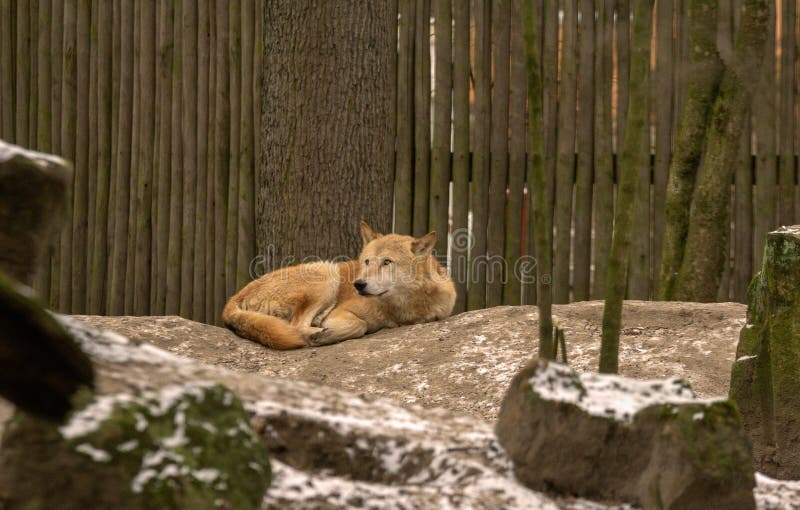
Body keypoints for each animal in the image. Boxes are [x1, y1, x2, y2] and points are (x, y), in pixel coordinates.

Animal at [222, 221, 457, 349]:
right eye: (367, 261)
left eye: (387, 262)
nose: (358, 284)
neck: (404, 309)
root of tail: (233, 300)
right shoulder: (342, 313)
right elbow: (360, 325)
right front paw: (325, 332)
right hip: (327, 273)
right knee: (296, 326)